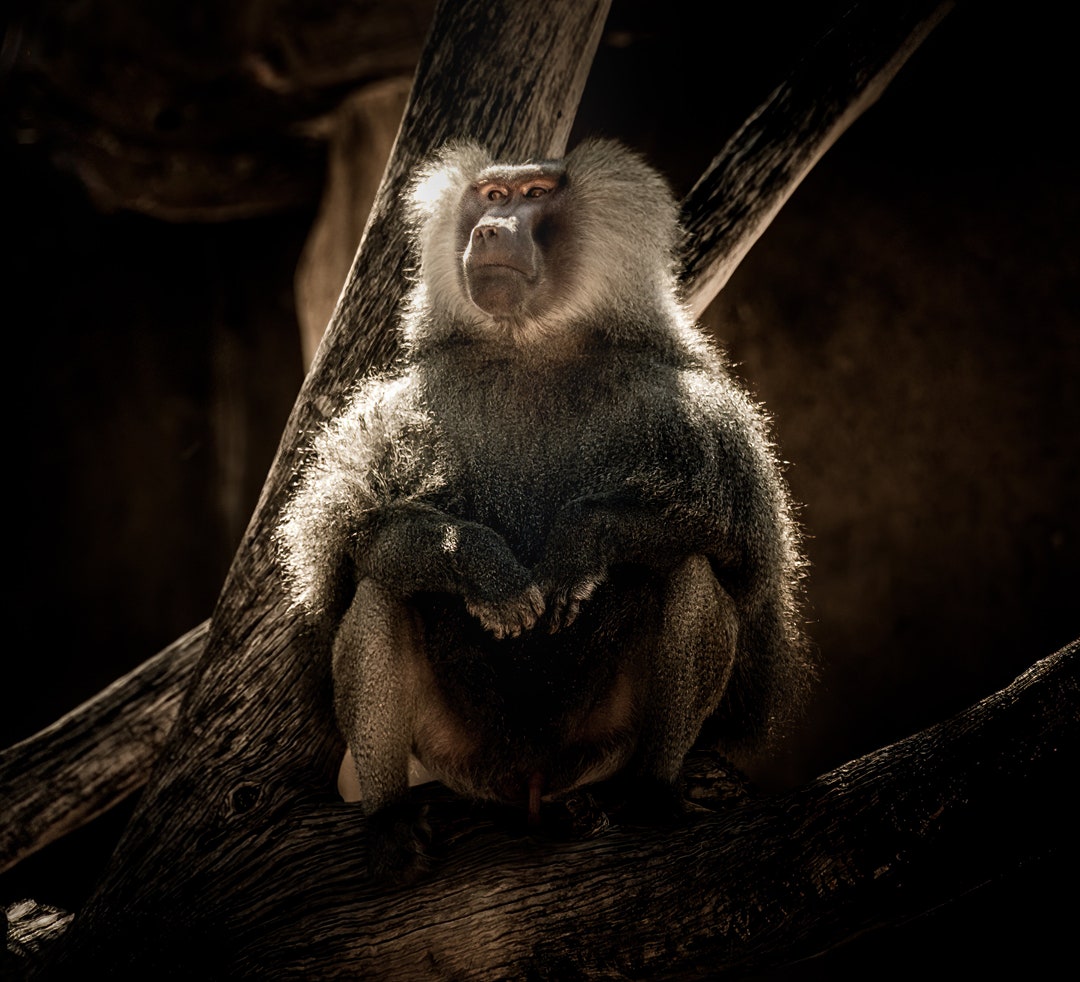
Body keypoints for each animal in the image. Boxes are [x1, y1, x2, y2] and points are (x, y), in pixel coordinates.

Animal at [275, 138, 812, 881]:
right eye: (492, 196)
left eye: (533, 194)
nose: (489, 231)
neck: (531, 348)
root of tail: (529, 779)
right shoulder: (393, 409)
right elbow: (356, 541)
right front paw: (488, 570)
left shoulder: (700, 417)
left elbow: (735, 548)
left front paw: (577, 546)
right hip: (459, 749)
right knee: (382, 590)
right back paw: (390, 825)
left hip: (598, 744)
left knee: (692, 570)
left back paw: (653, 794)